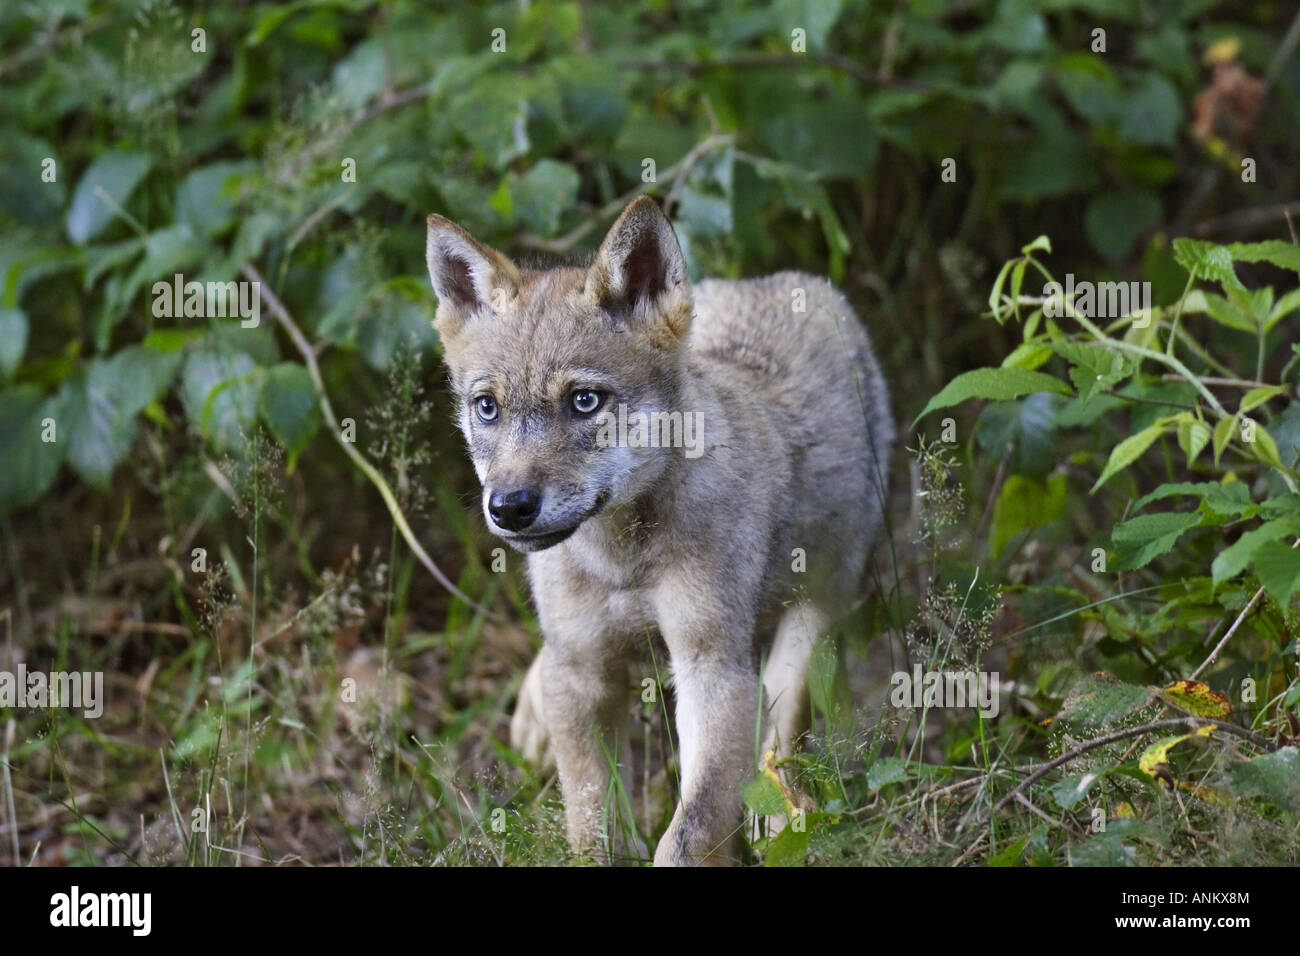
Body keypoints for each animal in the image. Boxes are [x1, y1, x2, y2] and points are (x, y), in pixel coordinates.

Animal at [425, 196, 893, 865]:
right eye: (487, 407)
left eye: (585, 401)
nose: (510, 506)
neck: (623, 563)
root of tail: (775, 281)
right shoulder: (584, 674)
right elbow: (589, 819)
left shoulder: (710, 667)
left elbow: (689, 832)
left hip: (818, 605)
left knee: (780, 725)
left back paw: (780, 818)